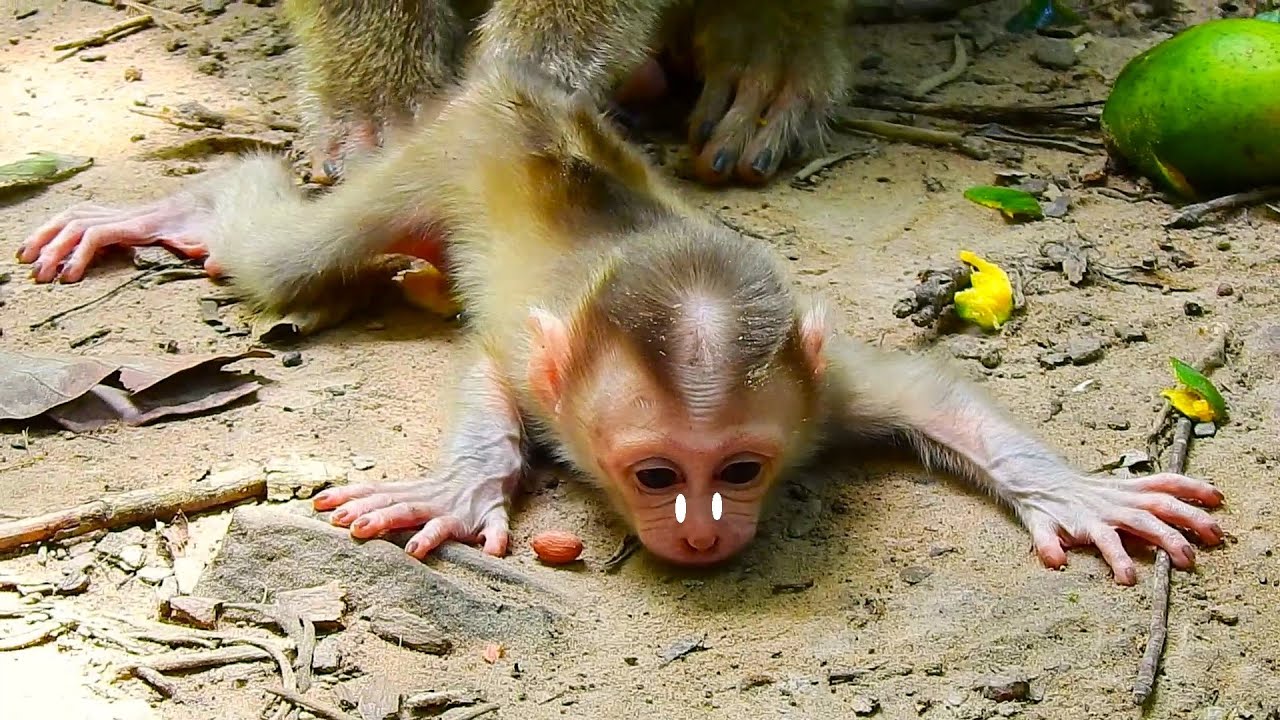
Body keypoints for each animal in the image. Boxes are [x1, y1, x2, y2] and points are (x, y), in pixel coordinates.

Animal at [14, 30, 1225, 585]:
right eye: (654, 477)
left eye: (740, 467)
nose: (700, 530)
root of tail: (524, 102)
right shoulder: (534, 366)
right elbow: (489, 384)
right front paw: (461, 491)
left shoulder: (825, 381)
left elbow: (931, 394)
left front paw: (1074, 495)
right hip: (433, 159)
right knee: (288, 257)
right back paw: (181, 209)